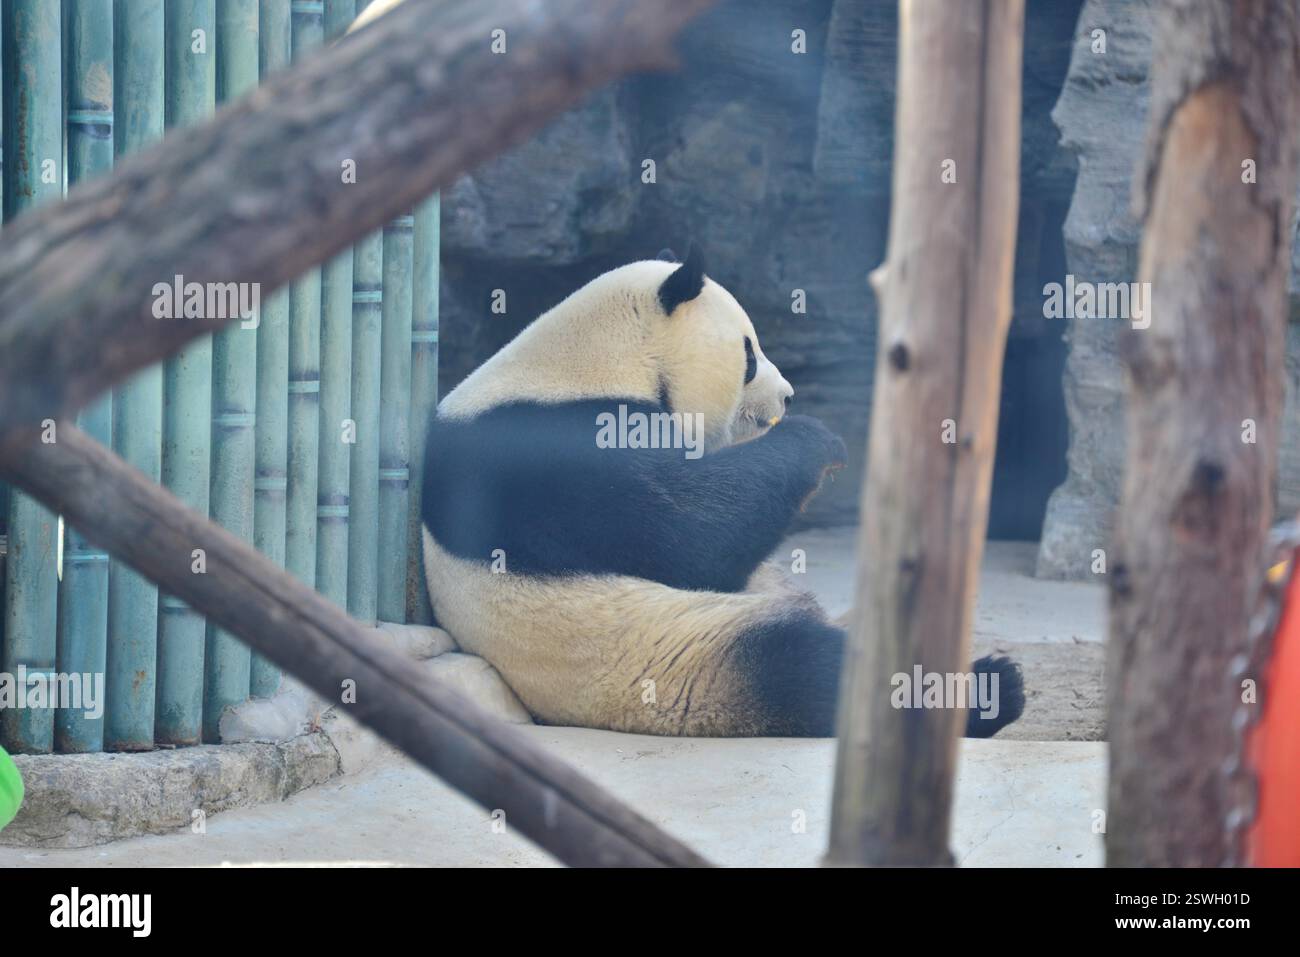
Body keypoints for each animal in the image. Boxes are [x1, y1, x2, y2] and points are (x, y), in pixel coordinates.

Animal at [420, 246, 1025, 737]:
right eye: (750, 354)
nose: (788, 395)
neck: (587, 361)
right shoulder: (548, 455)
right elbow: (689, 535)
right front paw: (818, 440)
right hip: (680, 658)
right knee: (804, 669)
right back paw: (990, 690)